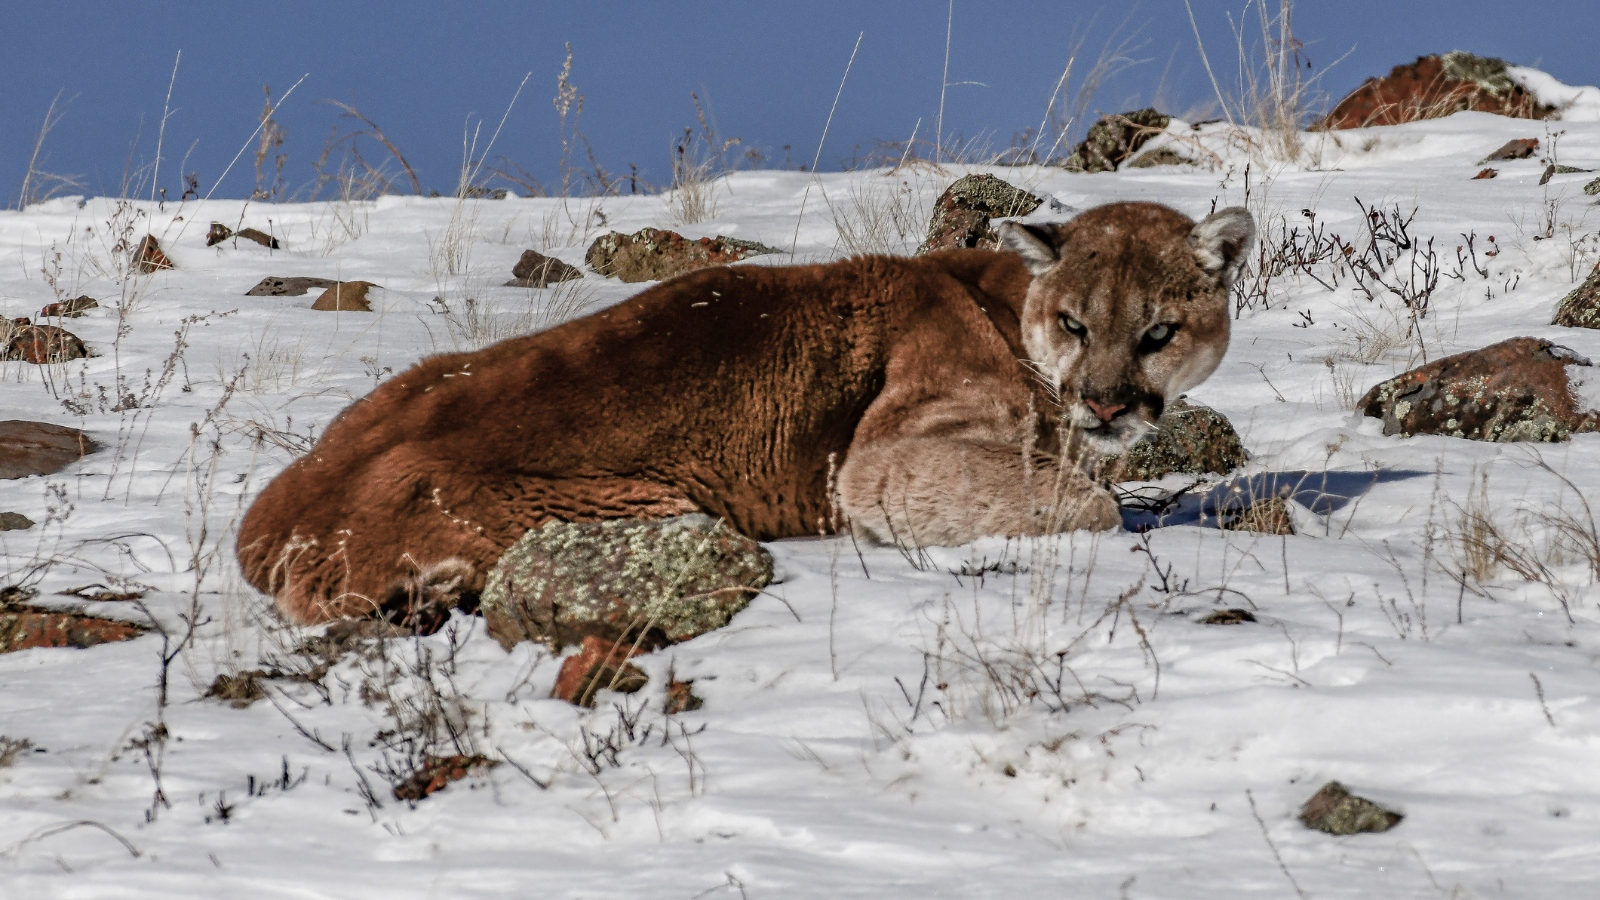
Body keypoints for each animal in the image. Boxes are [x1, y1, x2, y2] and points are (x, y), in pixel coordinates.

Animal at [236, 201, 1254, 626]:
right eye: (1077, 323)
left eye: (1158, 332)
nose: (1106, 402)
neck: (1006, 306)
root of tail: (270, 524)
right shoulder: (882, 460)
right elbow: (1089, 505)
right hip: (647, 512)